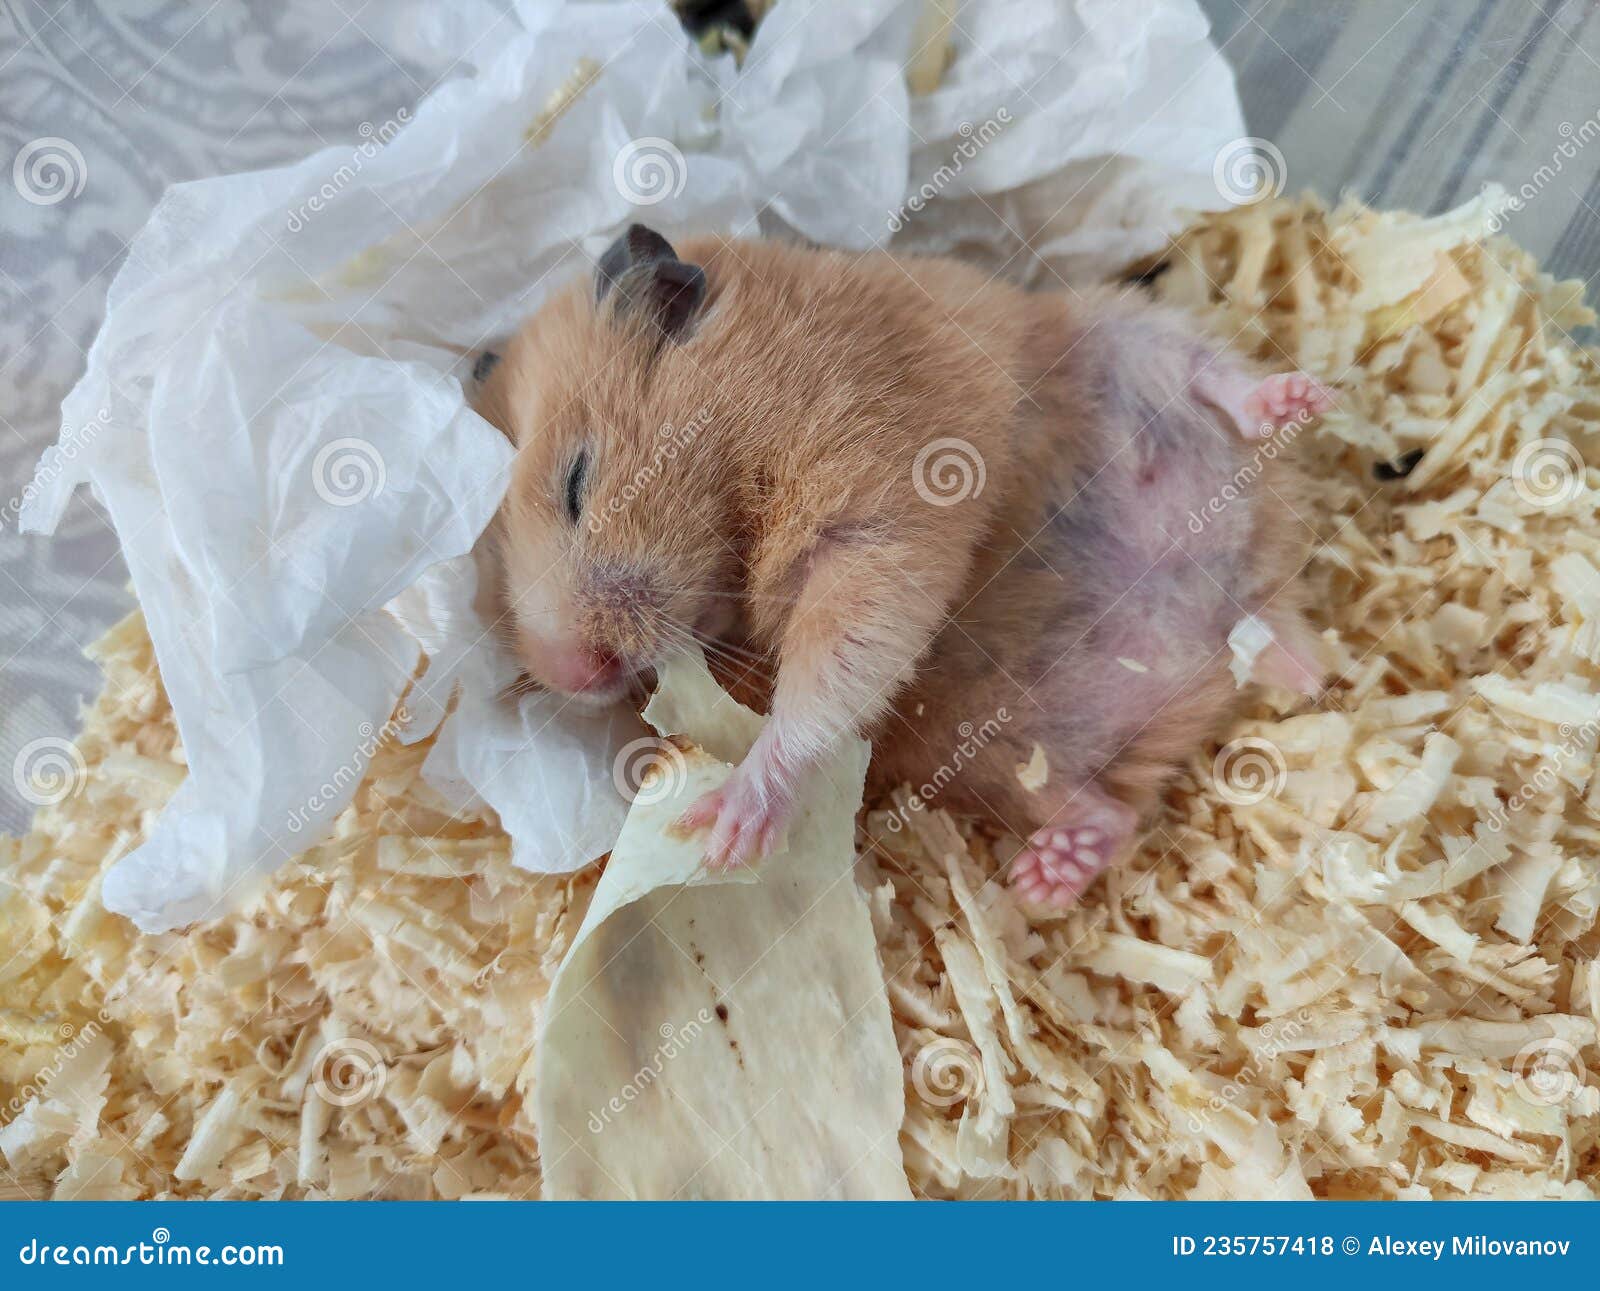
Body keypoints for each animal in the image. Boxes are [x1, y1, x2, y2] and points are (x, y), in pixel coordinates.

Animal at [475, 223, 1329, 906]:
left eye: (577, 483)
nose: (569, 673)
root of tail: (1231, 608)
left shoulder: (879, 521)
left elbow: (823, 683)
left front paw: (726, 828)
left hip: (1118, 330)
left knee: (1208, 369)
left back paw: (1296, 399)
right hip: (999, 752)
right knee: (1106, 811)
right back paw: (1046, 877)